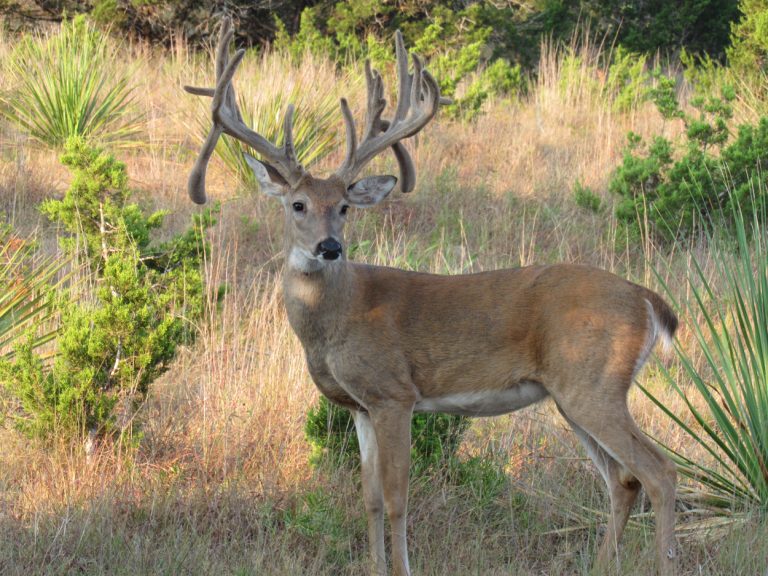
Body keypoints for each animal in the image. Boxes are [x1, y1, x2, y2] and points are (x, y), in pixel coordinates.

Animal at [184, 18, 679, 576]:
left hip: (594, 384)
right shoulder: (359, 407)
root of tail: (647, 299)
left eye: (344, 207)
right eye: (298, 205)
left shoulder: (394, 393)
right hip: (571, 395)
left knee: (660, 473)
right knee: (623, 481)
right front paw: (375, 567)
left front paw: (401, 568)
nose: (329, 247)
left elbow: (398, 497)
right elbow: (369, 499)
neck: (338, 320)